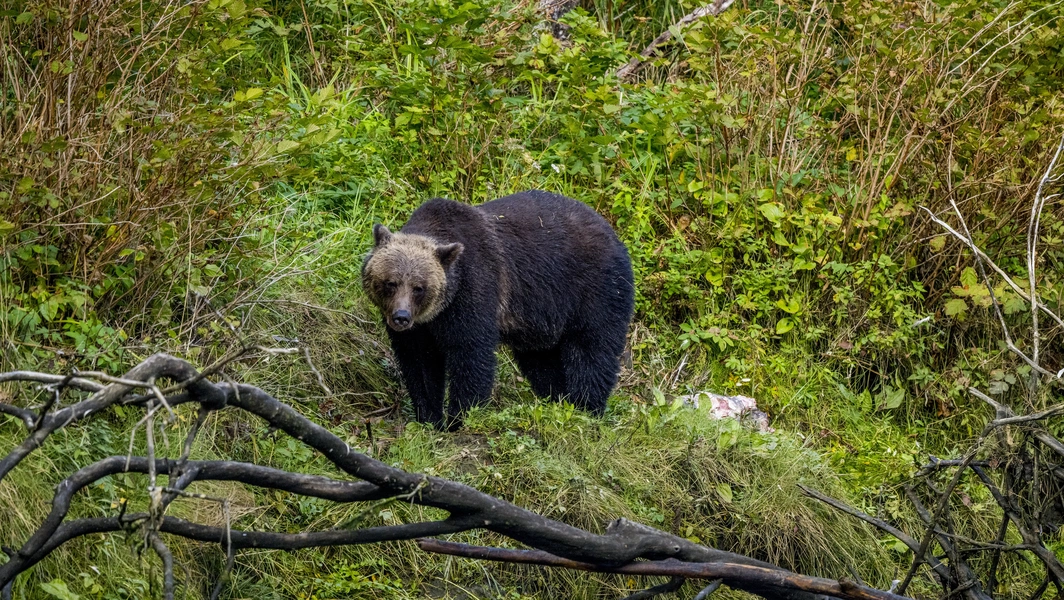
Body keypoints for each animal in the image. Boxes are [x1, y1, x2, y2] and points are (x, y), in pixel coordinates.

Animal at [361, 190, 635, 430]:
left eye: (419, 288)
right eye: (390, 282)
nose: (401, 317)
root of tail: (615, 235)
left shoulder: (475, 288)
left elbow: (471, 355)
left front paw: (460, 417)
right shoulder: (421, 330)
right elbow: (419, 365)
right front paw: (429, 417)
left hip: (593, 290)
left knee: (591, 350)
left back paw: (585, 408)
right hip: (541, 318)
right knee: (542, 363)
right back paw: (558, 401)